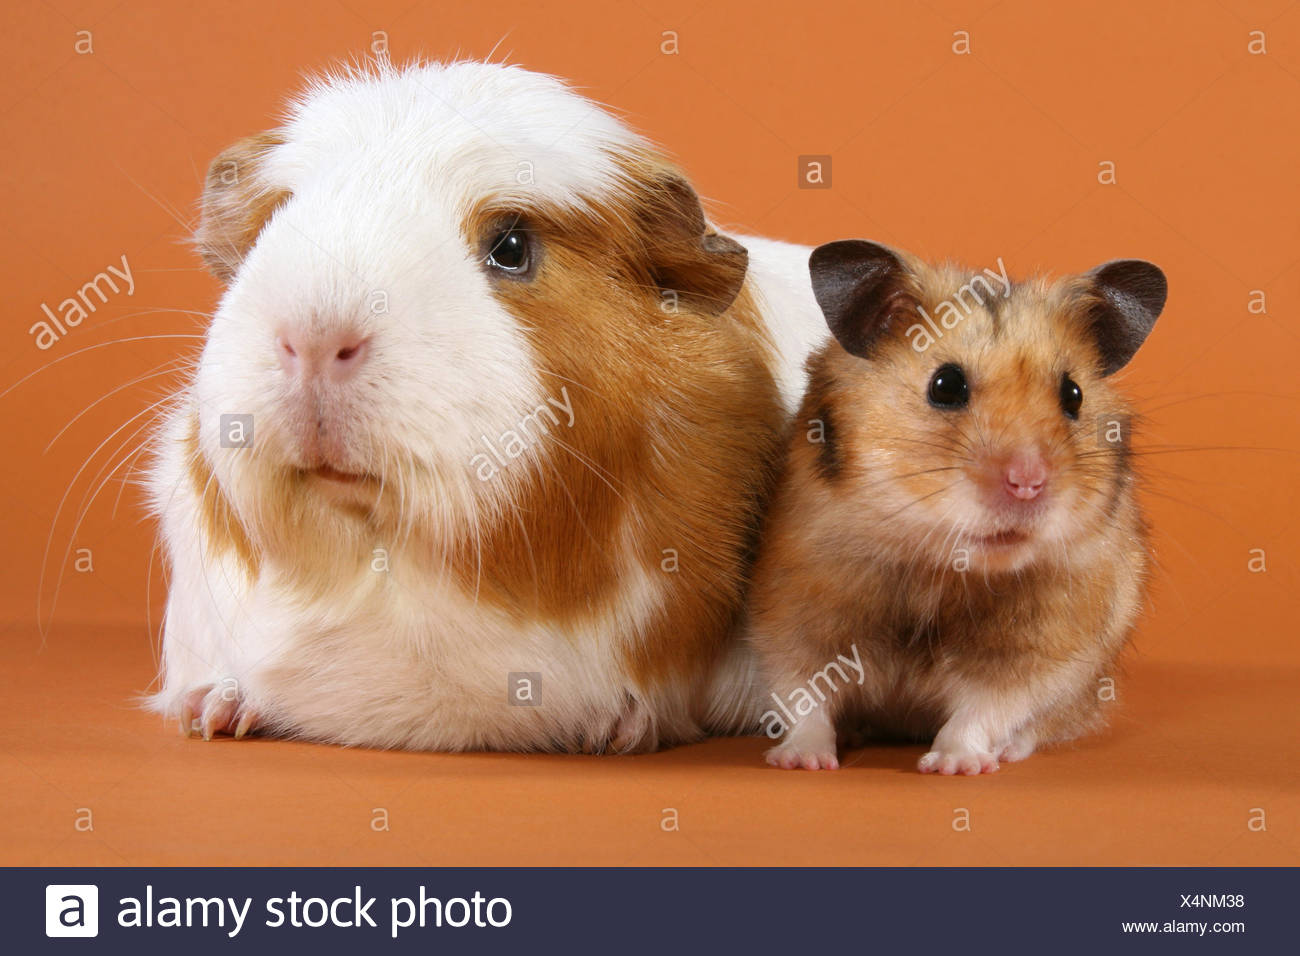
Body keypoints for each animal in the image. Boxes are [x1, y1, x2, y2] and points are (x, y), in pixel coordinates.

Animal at [746, 239, 1167, 774]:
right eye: (945, 385)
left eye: (1072, 395)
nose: (1028, 483)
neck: (940, 567)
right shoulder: (791, 614)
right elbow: (805, 695)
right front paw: (802, 761)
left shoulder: (1038, 649)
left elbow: (982, 711)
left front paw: (954, 765)